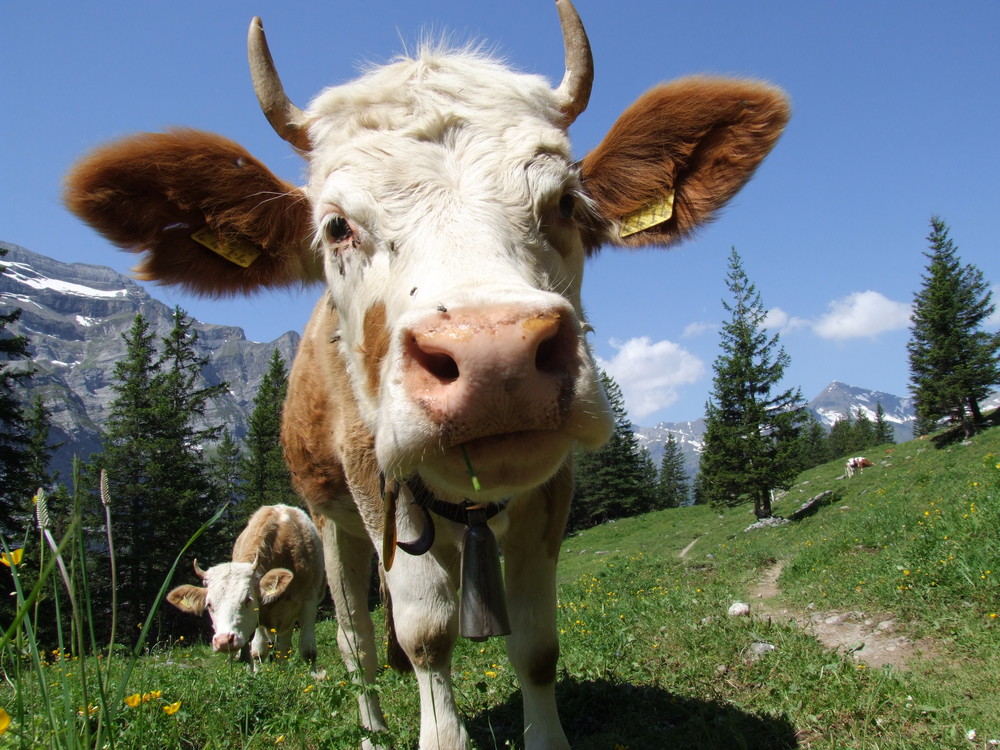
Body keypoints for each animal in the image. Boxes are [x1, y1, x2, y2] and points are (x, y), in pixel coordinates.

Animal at [166, 504, 325, 669]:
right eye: (208, 605)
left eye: (248, 600)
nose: (224, 641)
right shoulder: (261, 613)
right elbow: (258, 651)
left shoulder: (309, 602)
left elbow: (308, 651)